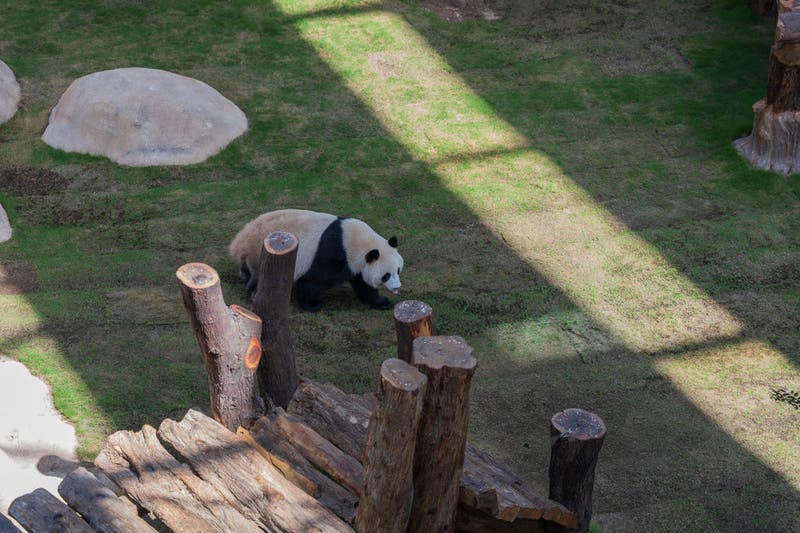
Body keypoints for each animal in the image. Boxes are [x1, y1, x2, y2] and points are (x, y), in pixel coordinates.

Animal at [229, 209, 403, 312]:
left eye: (398, 270)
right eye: (386, 275)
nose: (397, 287)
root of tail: (242, 240)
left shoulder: (357, 263)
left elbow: (363, 284)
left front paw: (382, 302)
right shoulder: (333, 254)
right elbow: (313, 281)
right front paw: (313, 305)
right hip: (262, 253)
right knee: (259, 276)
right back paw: (251, 290)